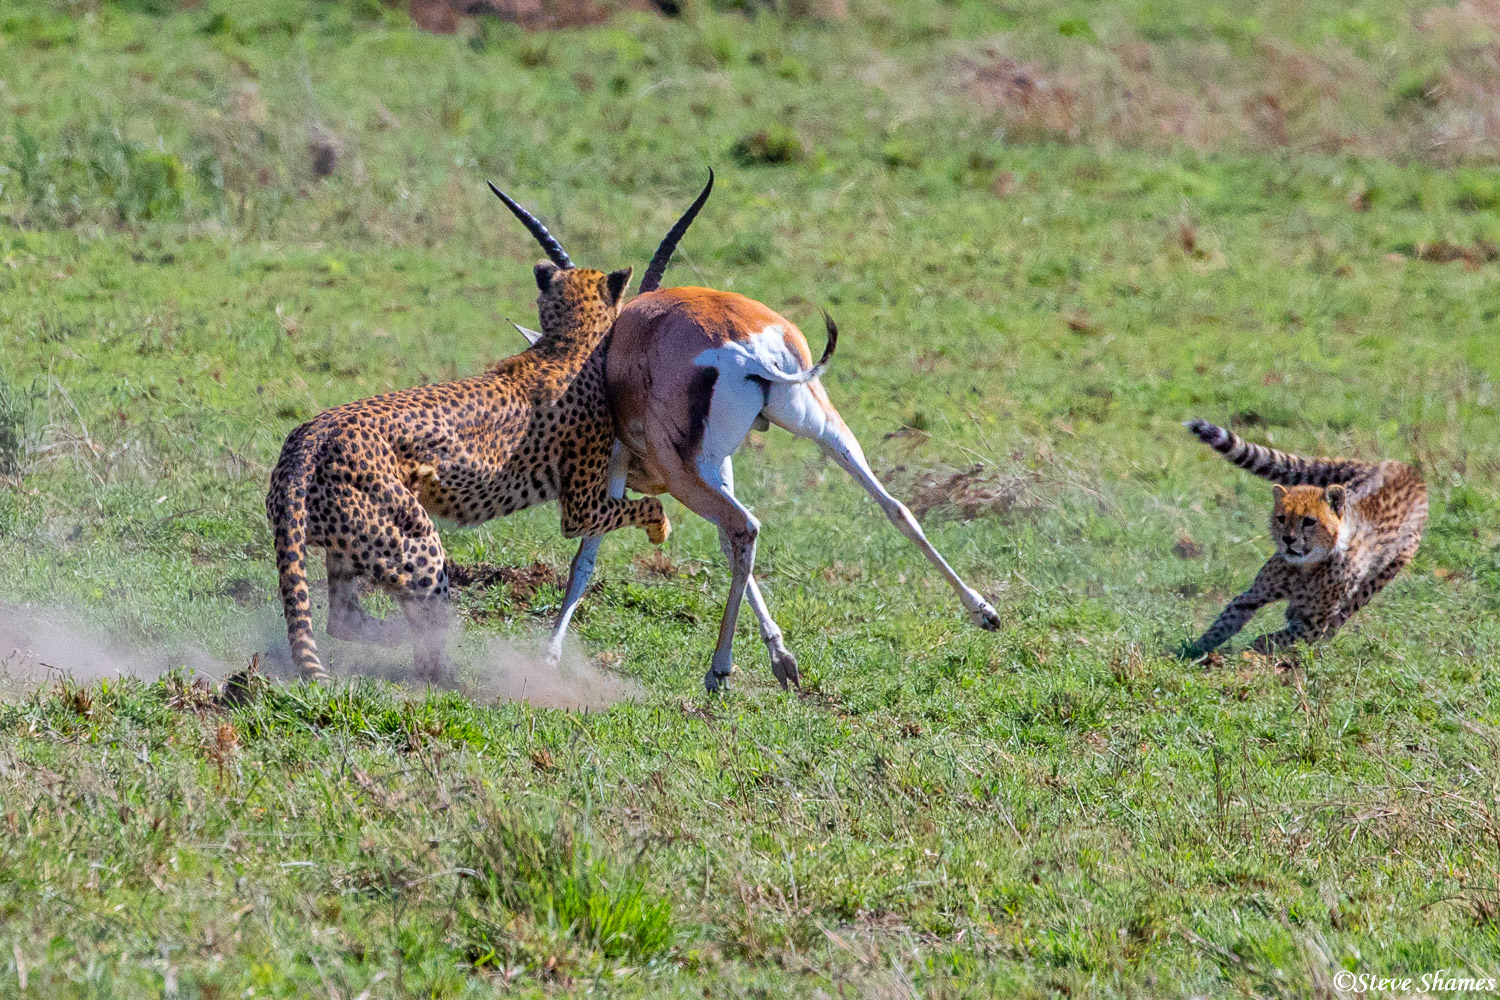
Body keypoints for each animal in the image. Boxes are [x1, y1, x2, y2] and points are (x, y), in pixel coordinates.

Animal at [265, 257, 668, 682]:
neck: (567, 344)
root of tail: (310, 437)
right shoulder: (582, 509)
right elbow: (647, 504)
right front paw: (660, 528)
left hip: (351, 541)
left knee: (344, 619)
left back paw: (393, 636)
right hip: (417, 542)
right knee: (427, 635)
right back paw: (452, 674)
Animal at [1181, 418, 1427, 657]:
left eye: (1309, 521)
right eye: (1281, 518)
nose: (1288, 539)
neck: (1306, 566)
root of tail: (1404, 468)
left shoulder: (1312, 625)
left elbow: (1275, 638)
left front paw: (1252, 651)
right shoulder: (1252, 596)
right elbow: (1226, 621)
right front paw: (1195, 649)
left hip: (1384, 573)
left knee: (1343, 614)